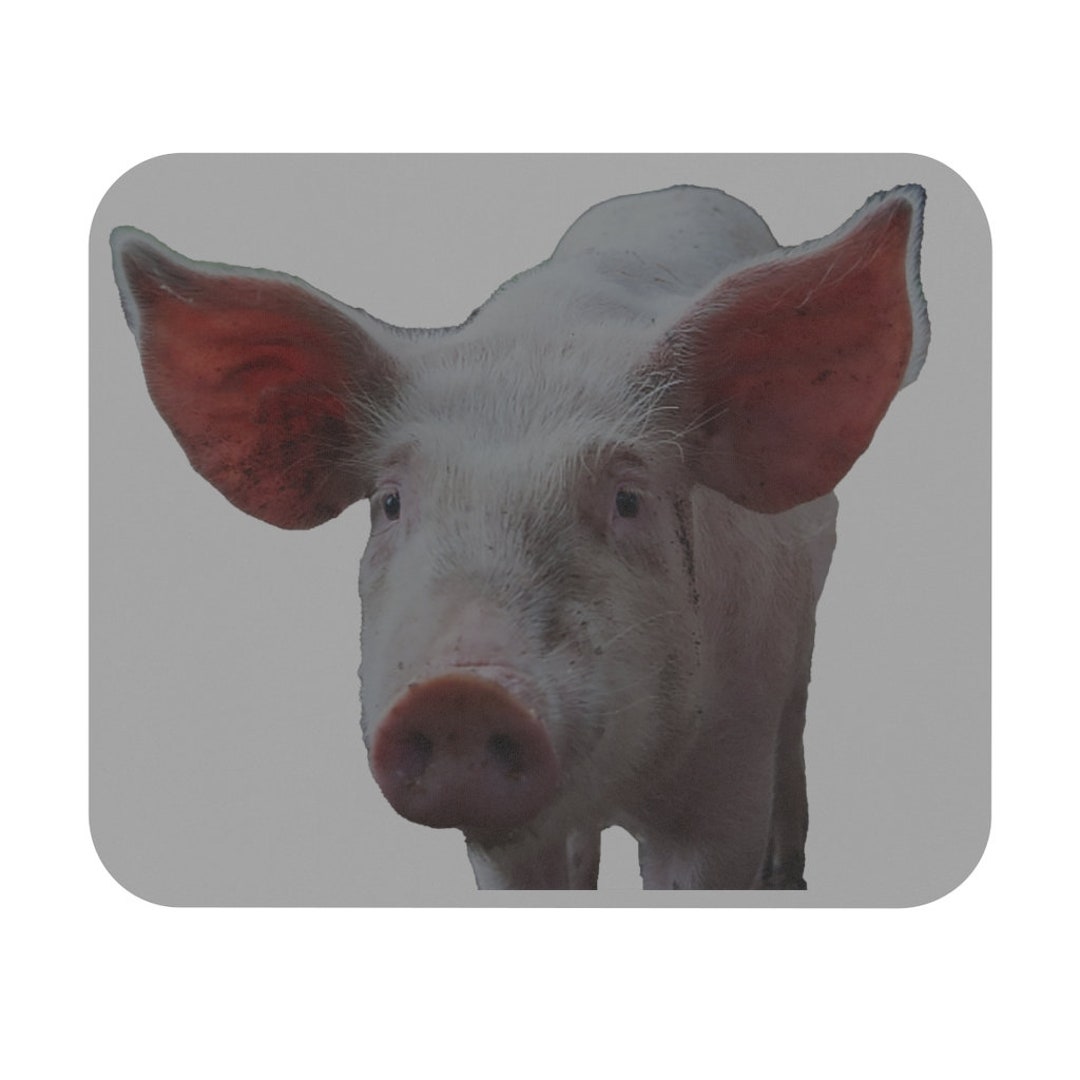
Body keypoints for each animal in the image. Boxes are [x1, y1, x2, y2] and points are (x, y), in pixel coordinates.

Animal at [110, 182, 929, 890]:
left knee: (797, 719)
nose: (461, 695)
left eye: (629, 500)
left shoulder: (724, 783)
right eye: (390, 503)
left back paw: (788, 872)